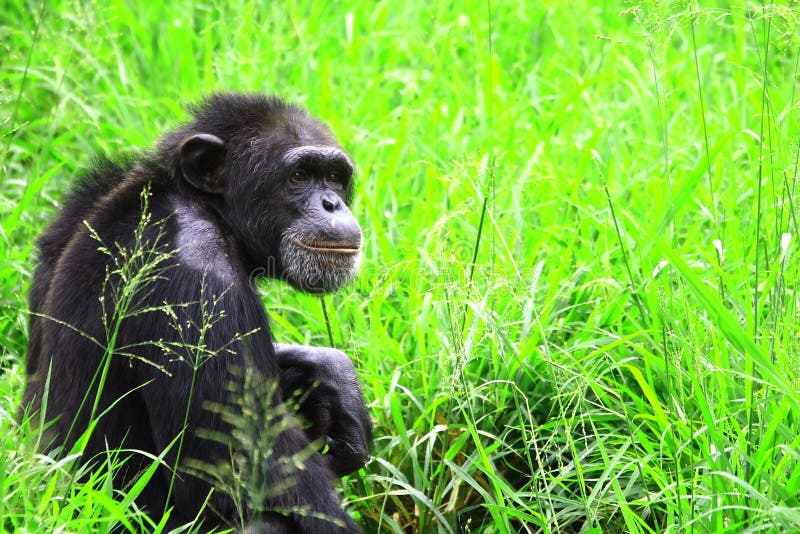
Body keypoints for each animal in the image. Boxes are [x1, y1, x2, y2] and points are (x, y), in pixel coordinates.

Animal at [22, 92, 372, 532]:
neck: (207, 209)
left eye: (334, 177)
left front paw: (331, 374)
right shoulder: (200, 284)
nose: (331, 203)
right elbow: (262, 484)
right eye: (299, 175)